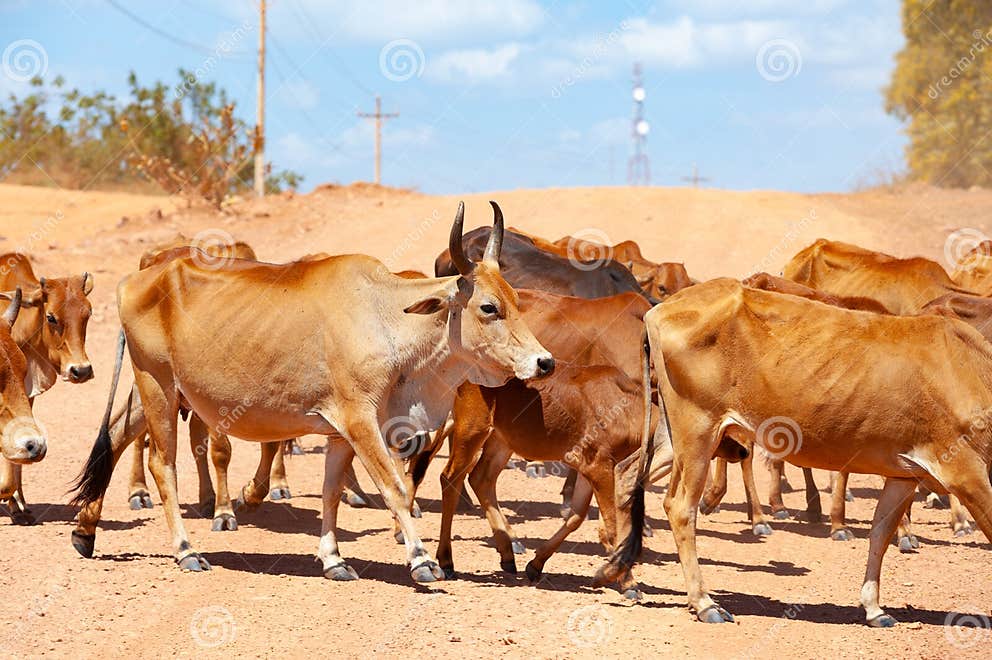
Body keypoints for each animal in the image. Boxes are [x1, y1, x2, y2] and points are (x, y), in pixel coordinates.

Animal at [70, 201, 554, 583]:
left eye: (516, 299)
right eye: (488, 307)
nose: (544, 362)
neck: (386, 318)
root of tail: (137, 279)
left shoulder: (340, 431)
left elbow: (331, 492)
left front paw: (333, 560)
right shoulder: (361, 421)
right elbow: (395, 488)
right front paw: (420, 560)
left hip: (153, 391)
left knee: (115, 439)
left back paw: (85, 530)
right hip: (159, 387)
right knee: (160, 462)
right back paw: (186, 550)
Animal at [599, 278, 992, 627]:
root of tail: (659, 310)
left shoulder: (904, 473)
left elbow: (880, 535)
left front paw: (874, 608)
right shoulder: (967, 472)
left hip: (676, 436)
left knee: (627, 476)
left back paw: (622, 576)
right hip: (697, 432)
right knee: (680, 507)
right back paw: (704, 602)